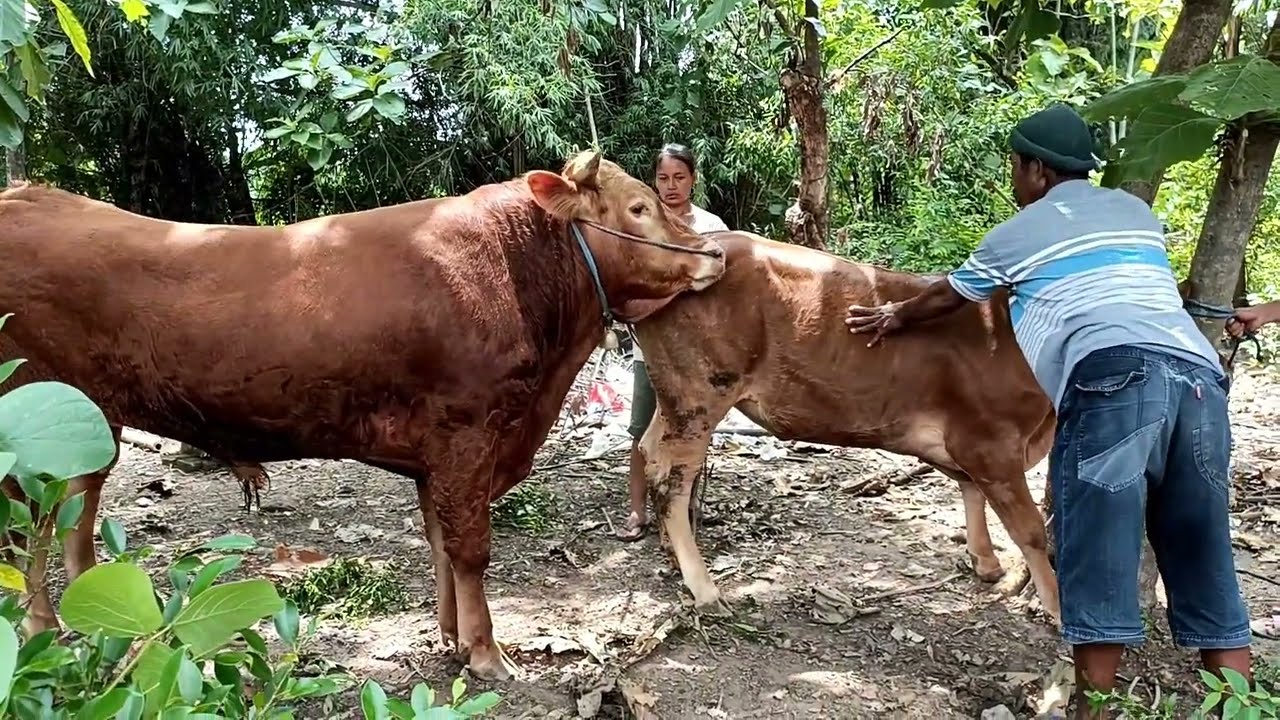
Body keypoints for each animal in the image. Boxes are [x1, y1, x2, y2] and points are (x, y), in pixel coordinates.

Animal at [0, 150, 726, 680]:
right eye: (639, 206)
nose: (717, 252)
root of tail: (26, 196)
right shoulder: (468, 434)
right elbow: (471, 548)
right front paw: (488, 656)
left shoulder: (439, 455)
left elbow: (440, 543)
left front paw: (451, 636)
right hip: (31, 430)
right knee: (30, 531)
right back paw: (44, 633)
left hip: (89, 426)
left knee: (75, 523)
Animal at [632, 230, 1061, 624]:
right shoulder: (989, 442)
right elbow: (1030, 530)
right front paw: (1055, 606)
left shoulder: (967, 444)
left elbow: (970, 489)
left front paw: (985, 561)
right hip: (700, 396)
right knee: (672, 480)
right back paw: (703, 587)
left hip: (674, 395)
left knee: (649, 450)